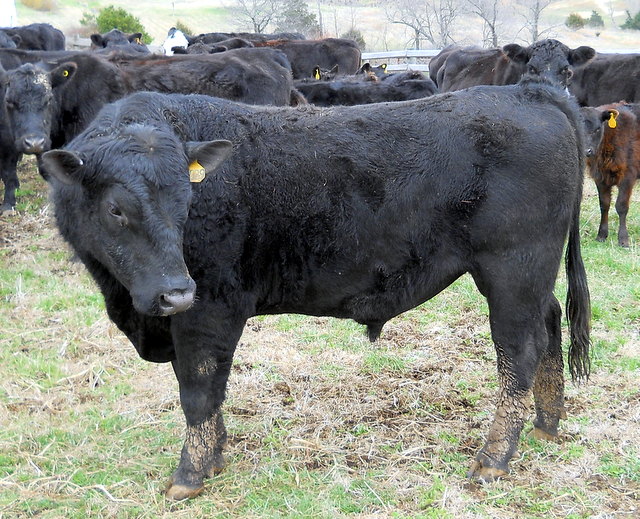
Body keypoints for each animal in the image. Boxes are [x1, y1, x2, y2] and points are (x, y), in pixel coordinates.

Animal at [40, 76, 591, 500]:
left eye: (185, 202)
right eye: (116, 208)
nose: (173, 292)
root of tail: (528, 91)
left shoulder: (209, 308)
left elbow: (198, 389)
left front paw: (190, 475)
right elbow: (206, 391)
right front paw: (215, 456)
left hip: (512, 271)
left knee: (518, 352)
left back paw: (493, 458)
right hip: (530, 278)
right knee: (549, 325)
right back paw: (547, 422)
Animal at [581, 102, 640, 247]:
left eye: (597, 129)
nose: (587, 150)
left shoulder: (628, 175)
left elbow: (621, 206)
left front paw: (623, 240)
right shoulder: (600, 177)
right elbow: (604, 204)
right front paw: (601, 235)